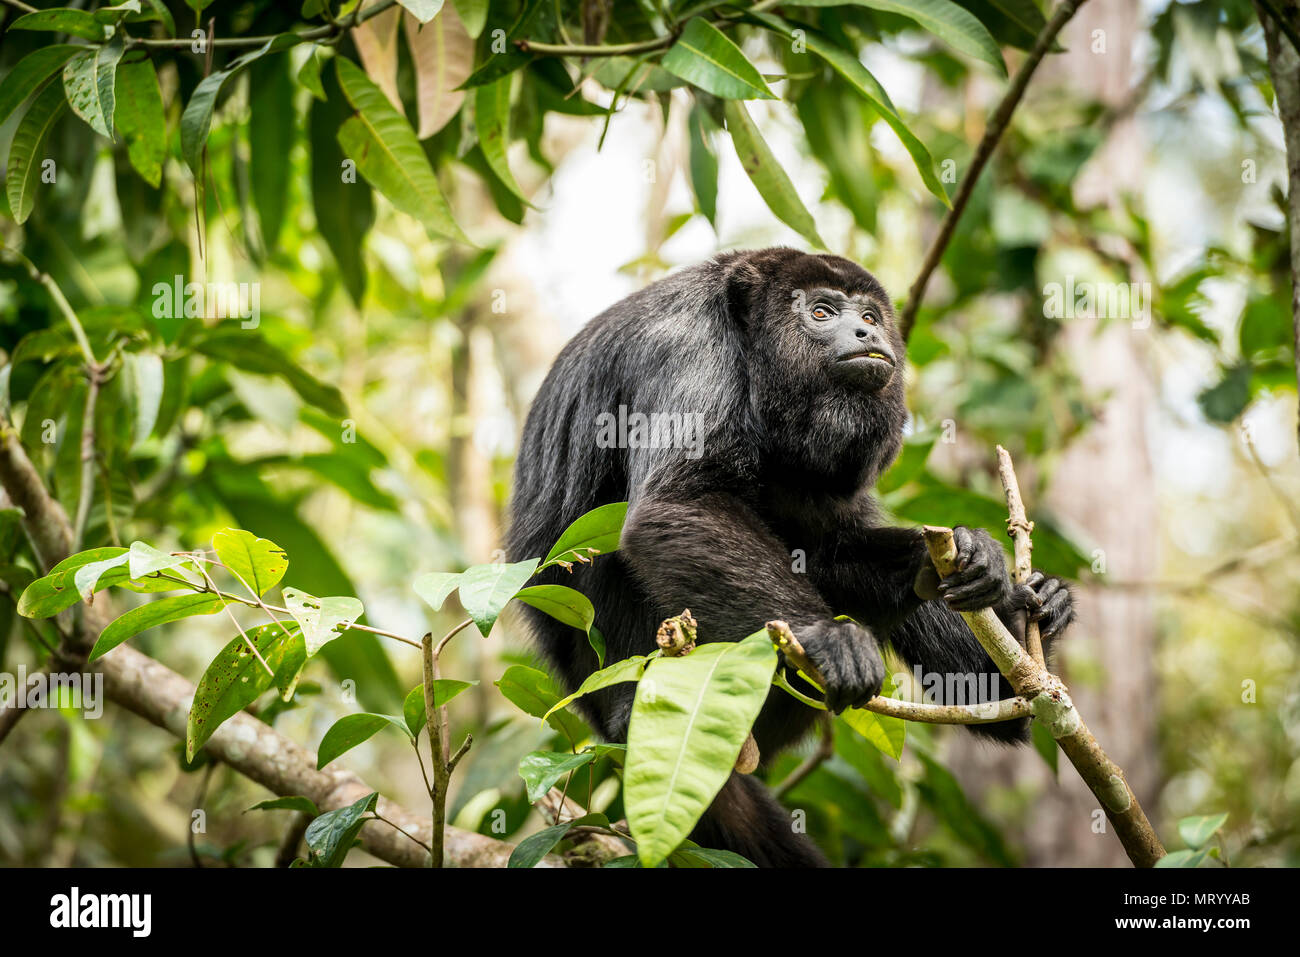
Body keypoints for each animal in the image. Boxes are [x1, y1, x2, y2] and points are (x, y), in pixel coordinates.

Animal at [506, 248, 1074, 867]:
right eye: (821, 311)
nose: (867, 332)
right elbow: (679, 503)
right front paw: (826, 638)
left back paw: (1018, 649)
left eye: (869, 314)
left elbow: (825, 546)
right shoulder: (687, 348)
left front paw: (979, 553)